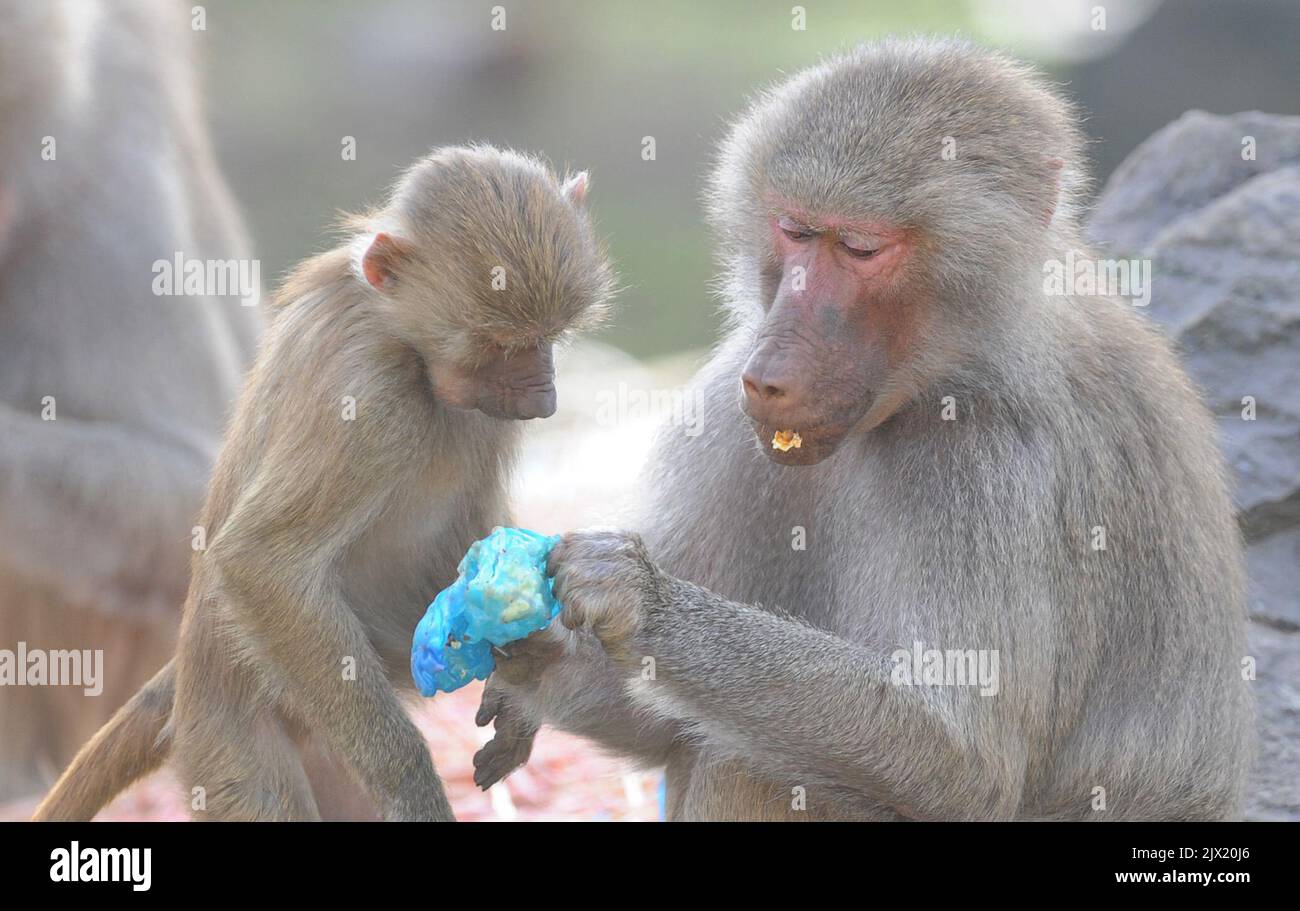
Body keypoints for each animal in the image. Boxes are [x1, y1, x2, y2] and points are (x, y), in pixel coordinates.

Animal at [32, 145, 613, 821]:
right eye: (498, 344)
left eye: (549, 337)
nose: (544, 400)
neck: (401, 341)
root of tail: (188, 679)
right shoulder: (366, 396)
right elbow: (261, 560)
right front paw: (413, 782)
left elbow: (473, 542)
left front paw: (523, 684)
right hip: (231, 744)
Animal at [472, 39, 1255, 821]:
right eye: (794, 231)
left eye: (858, 248)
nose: (769, 374)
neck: (957, 369)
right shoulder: (729, 416)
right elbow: (657, 721)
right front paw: (532, 660)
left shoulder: (990, 459)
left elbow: (966, 763)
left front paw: (638, 598)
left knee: (749, 762)